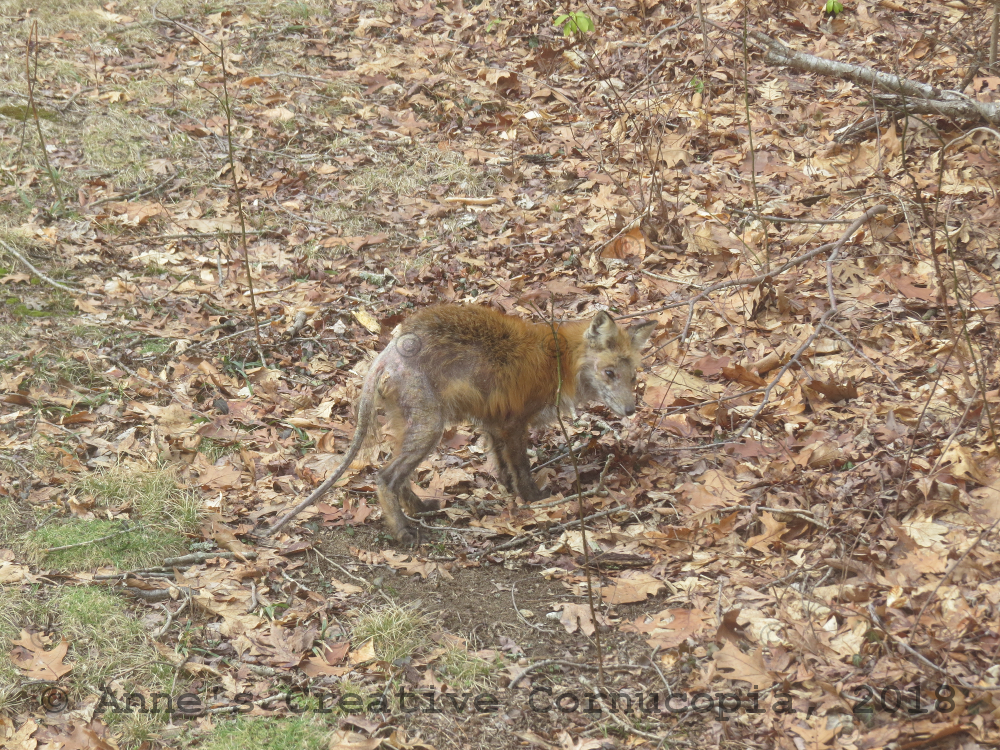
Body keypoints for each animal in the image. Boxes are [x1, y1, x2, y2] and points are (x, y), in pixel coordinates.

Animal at [268, 304, 656, 544]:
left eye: (633, 376)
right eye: (609, 373)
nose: (630, 410)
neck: (558, 360)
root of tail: (390, 348)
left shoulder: (494, 423)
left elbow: (502, 468)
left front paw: (510, 494)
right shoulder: (514, 422)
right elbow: (522, 468)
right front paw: (534, 499)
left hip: (414, 426)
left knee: (398, 477)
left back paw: (421, 510)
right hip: (430, 427)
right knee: (384, 477)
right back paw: (403, 532)